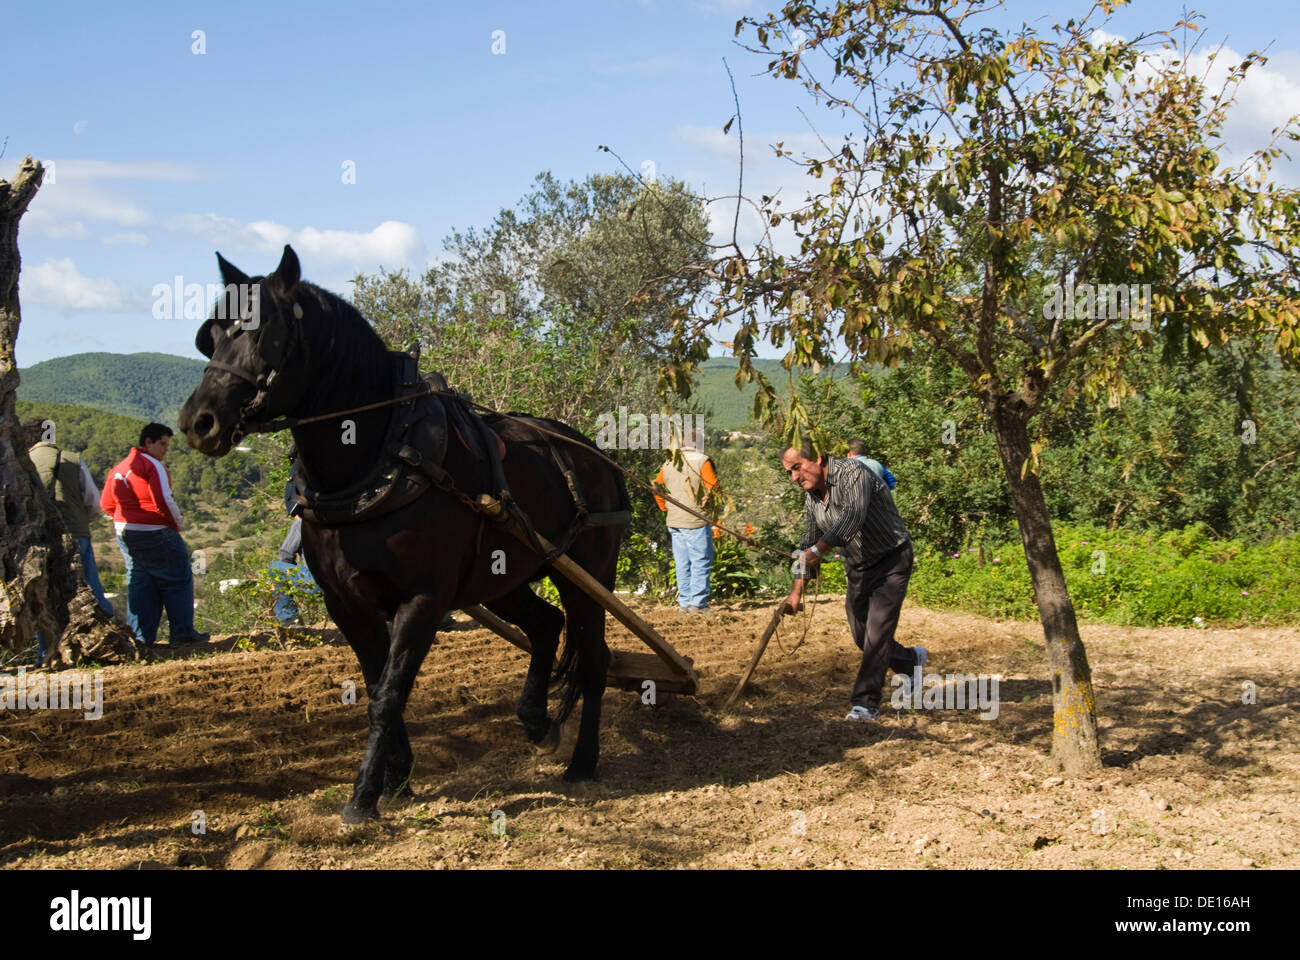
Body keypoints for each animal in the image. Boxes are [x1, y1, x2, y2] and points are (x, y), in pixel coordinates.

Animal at [178, 244, 628, 822]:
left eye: (264, 333)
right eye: (211, 334)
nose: (199, 421)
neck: (378, 460)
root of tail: (593, 453)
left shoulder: (424, 599)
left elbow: (391, 693)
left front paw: (363, 797)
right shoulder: (346, 603)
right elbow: (376, 686)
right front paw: (397, 777)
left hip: (586, 573)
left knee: (593, 659)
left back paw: (582, 761)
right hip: (500, 578)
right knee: (547, 625)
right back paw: (534, 719)